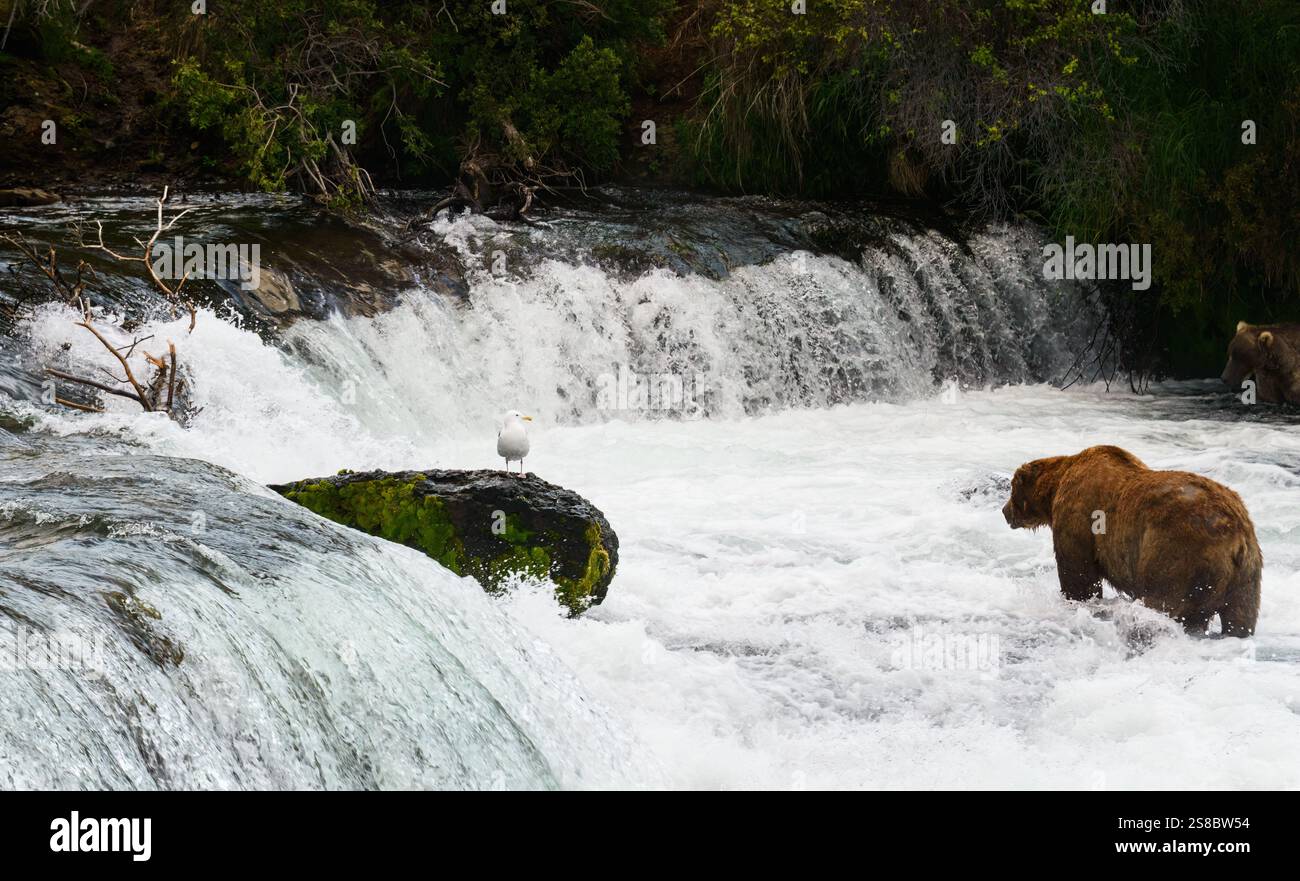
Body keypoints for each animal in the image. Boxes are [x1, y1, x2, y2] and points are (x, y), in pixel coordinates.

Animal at [1002, 445, 1261, 636]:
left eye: (1012, 488)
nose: (1004, 511)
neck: (1055, 487)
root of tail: (1237, 537)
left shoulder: (1079, 518)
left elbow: (1078, 574)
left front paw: (1075, 600)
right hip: (1247, 577)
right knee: (1241, 617)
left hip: (1177, 552)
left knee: (1162, 601)